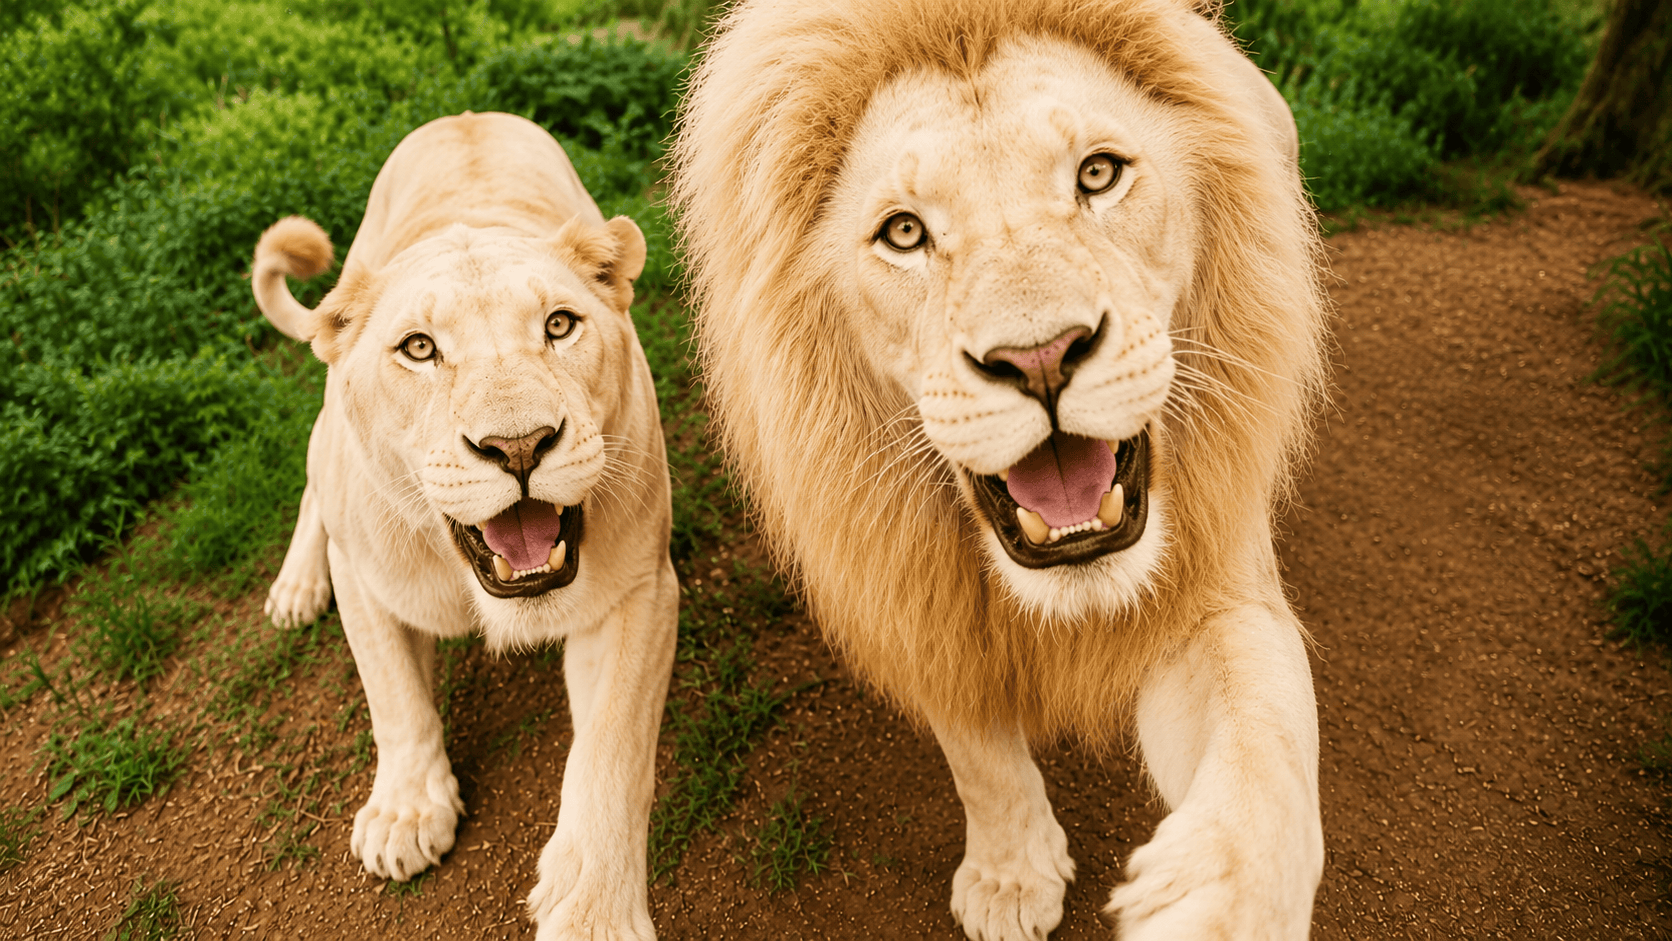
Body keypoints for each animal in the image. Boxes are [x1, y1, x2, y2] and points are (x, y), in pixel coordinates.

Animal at [251, 112, 676, 940]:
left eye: (559, 325)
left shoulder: (638, 588)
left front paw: (594, 909)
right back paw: (294, 587)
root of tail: (461, 117)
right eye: (419, 348)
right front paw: (406, 813)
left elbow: (612, 747)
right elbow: (393, 695)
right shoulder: (365, 577)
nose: (519, 446)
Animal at [671, 0, 1328, 937]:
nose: (1041, 358)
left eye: (1098, 175)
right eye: (905, 232)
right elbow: (978, 751)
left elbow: (1264, 736)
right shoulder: (919, 604)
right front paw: (1011, 877)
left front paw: (1219, 898)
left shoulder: (1212, 585)